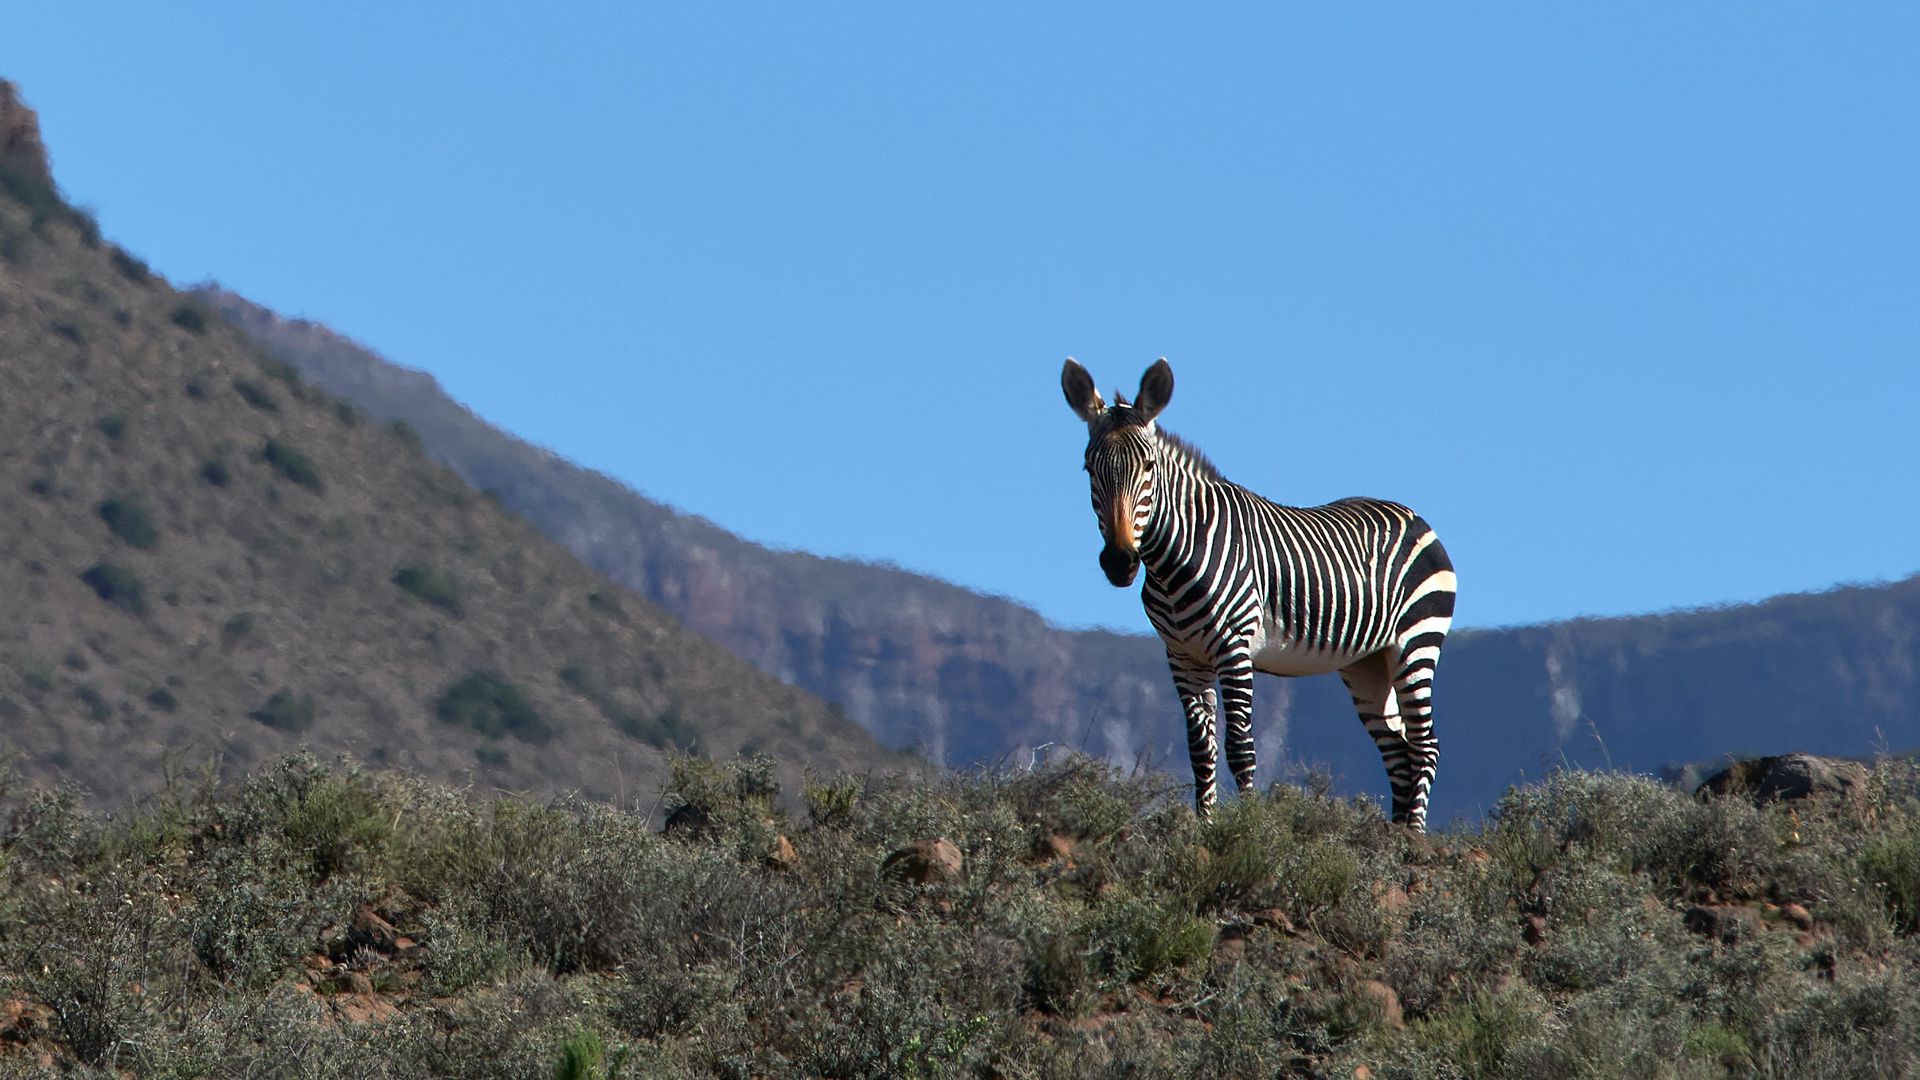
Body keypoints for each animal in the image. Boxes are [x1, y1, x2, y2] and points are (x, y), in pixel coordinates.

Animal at [1061, 357, 1457, 831]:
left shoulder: (1233, 648)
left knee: (1425, 745)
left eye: (1149, 467)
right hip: (1367, 663)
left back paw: (1413, 836)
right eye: (1089, 468)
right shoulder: (1182, 657)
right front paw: (1203, 827)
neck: (1173, 561)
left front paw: (1246, 828)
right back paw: (1394, 836)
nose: (1120, 561)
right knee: (1398, 750)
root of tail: (1415, 515)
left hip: (1415, 642)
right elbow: (1201, 751)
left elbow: (1240, 749)